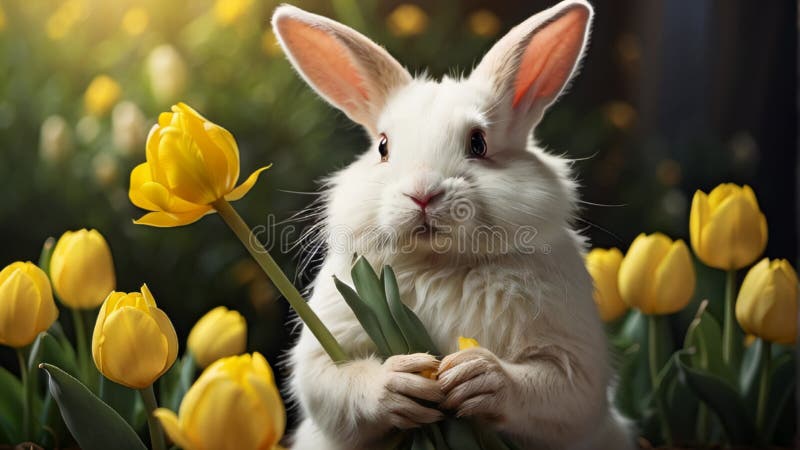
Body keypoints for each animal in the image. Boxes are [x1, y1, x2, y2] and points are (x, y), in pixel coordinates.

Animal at [271, 1, 635, 449]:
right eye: (383, 147)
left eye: (478, 142)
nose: (422, 194)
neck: (441, 265)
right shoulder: (326, 346)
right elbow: (329, 384)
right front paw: (401, 384)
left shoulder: (572, 358)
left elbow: (559, 390)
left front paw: (477, 377)